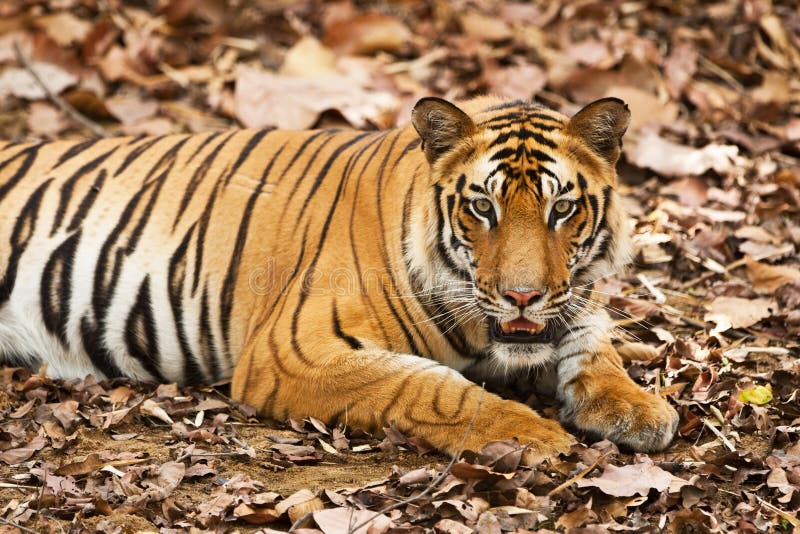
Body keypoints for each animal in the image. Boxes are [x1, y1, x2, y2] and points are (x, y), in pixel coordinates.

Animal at [0, 95, 678, 460]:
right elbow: (428, 386)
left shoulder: (571, 303)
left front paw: (639, 407)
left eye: (561, 208)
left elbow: (595, 343)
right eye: (482, 207)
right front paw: (533, 432)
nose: (522, 295)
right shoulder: (294, 349)